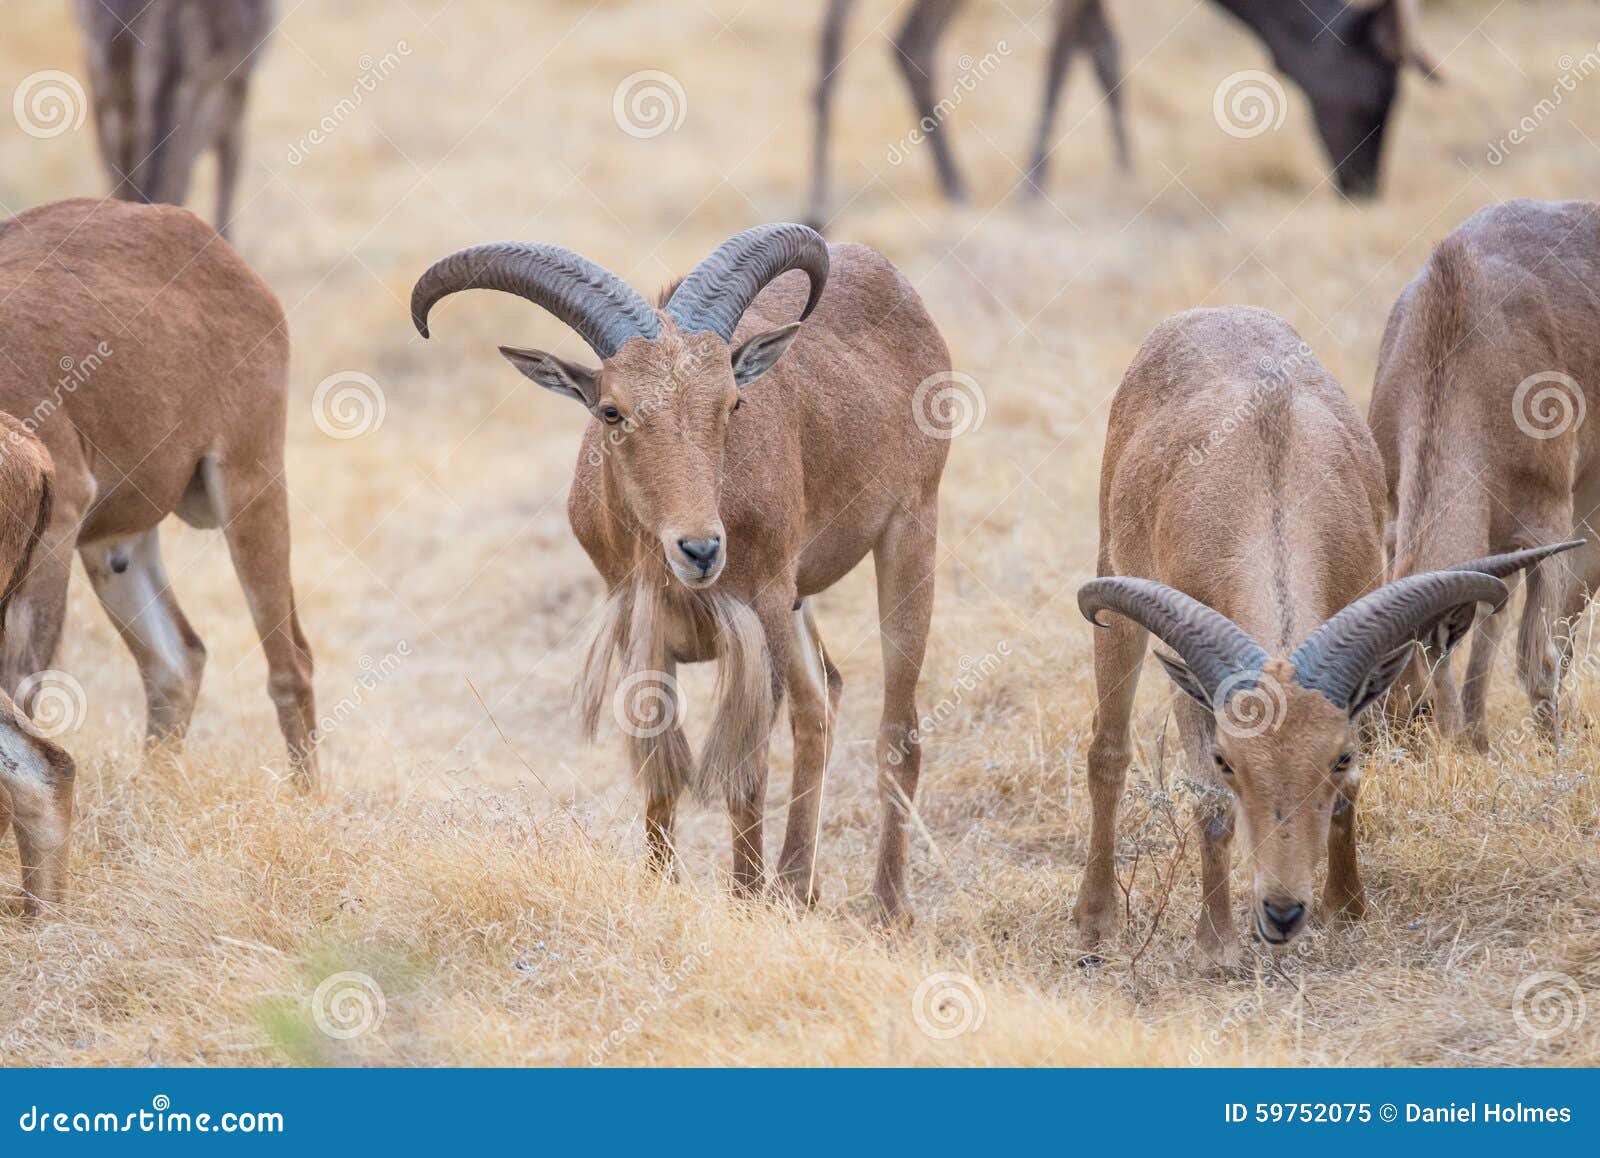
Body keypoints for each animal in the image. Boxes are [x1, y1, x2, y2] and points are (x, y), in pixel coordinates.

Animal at [0, 198, 318, 789]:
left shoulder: (57, 528)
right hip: (114, 544)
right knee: (178, 660)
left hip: (249, 484)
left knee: (291, 665)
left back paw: (306, 802)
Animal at [412, 223, 951, 923]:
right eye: (611, 411)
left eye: (732, 403)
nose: (700, 549)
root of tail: (898, 286)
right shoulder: (639, 622)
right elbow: (661, 770)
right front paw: (662, 887)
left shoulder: (758, 614)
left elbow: (745, 775)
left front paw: (743, 903)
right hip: (804, 598)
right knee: (822, 699)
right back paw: (795, 886)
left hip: (910, 529)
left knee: (897, 727)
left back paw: (886, 908)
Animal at [807, 0, 1439, 223]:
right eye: (1380, 94)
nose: (1365, 188)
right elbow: (1070, 56)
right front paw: (1033, 187)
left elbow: (1104, 53)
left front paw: (1125, 171)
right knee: (903, 41)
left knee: (855, 35)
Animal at [1076, 307, 1531, 962]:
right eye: (1229, 760)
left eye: (1336, 756)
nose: (1283, 912)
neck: (1272, 493)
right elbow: (1208, 800)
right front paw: (1216, 944)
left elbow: (1354, 791)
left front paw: (1348, 909)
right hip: (1114, 585)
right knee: (1107, 751)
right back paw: (1095, 919)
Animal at [1369, 198, 1597, 749]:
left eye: (1422, 710)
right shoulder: (1397, 523)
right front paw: (1476, 738)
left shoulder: (1550, 525)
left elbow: (1539, 660)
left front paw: (1553, 751)